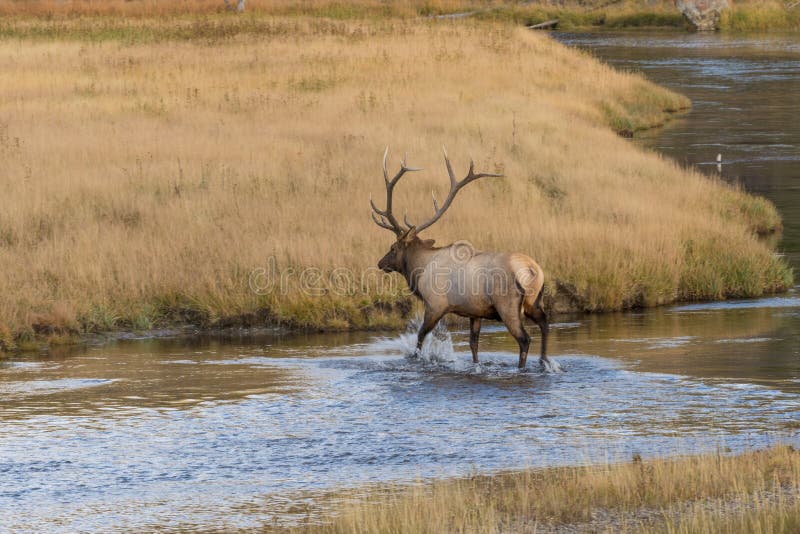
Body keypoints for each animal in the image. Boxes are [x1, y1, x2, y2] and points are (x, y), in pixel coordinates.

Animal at [370, 148, 555, 371]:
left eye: (393, 248)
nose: (380, 263)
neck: (420, 269)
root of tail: (531, 270)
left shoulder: (435, 305)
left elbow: (421, 337)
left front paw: (417, 359)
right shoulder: (475, 312)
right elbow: (473, 344)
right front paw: (476, 365)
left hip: (508, 305)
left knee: (524, 339)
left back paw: (522, 367)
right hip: (534, 302)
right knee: (545, 325)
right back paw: (544, 361)